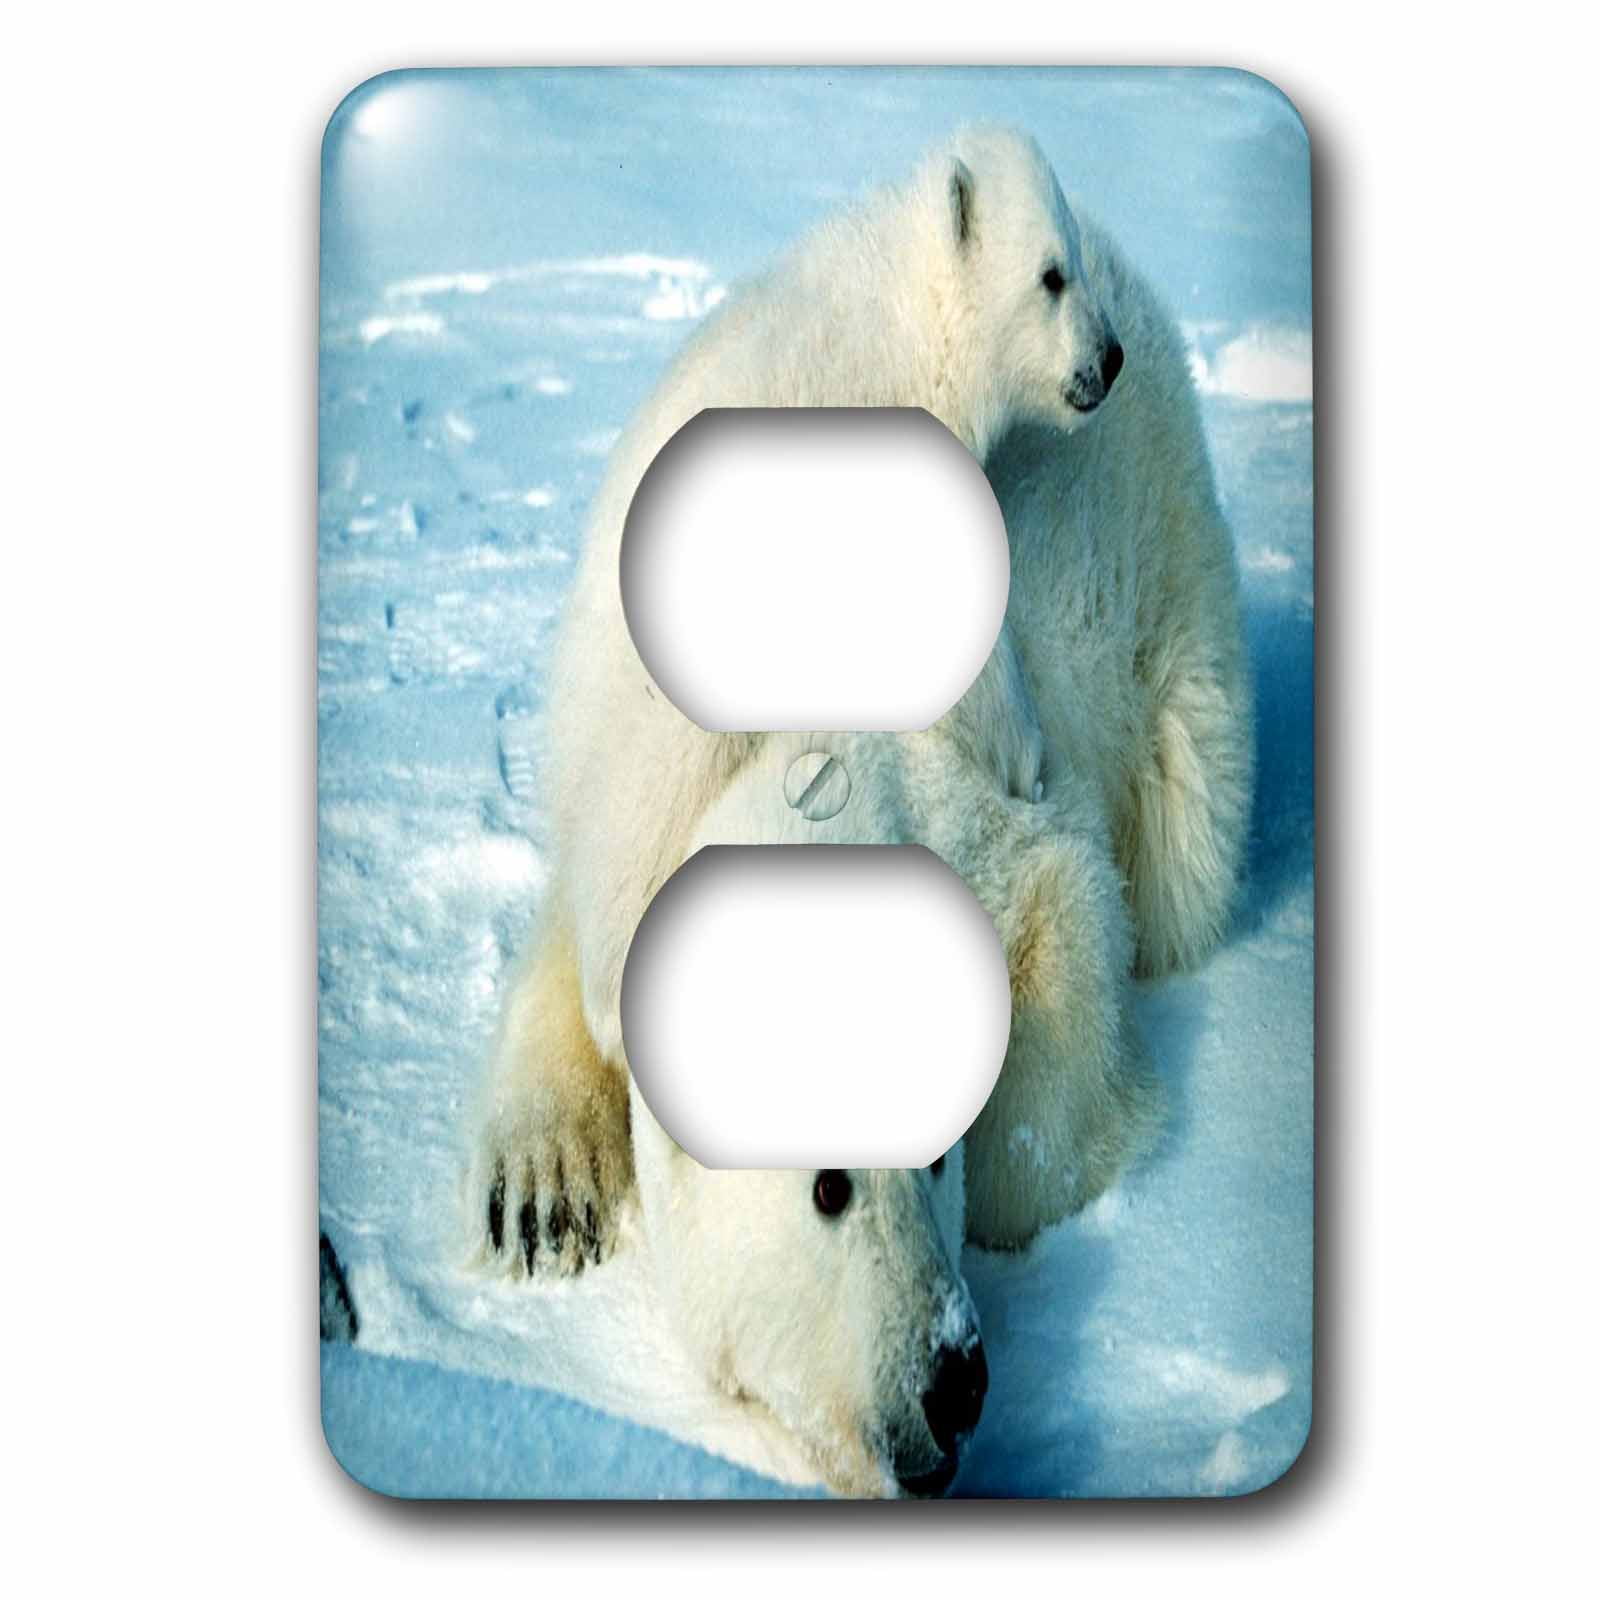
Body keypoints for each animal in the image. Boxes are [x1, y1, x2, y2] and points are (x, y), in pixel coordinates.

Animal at [468, 126, 1252, 1496]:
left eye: (933, 1151)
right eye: (827, 1188)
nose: (953, 1383)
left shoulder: (1000, 842)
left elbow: (1064, 965)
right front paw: (540, 1193)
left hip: (1176, 596)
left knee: (1185, 838)